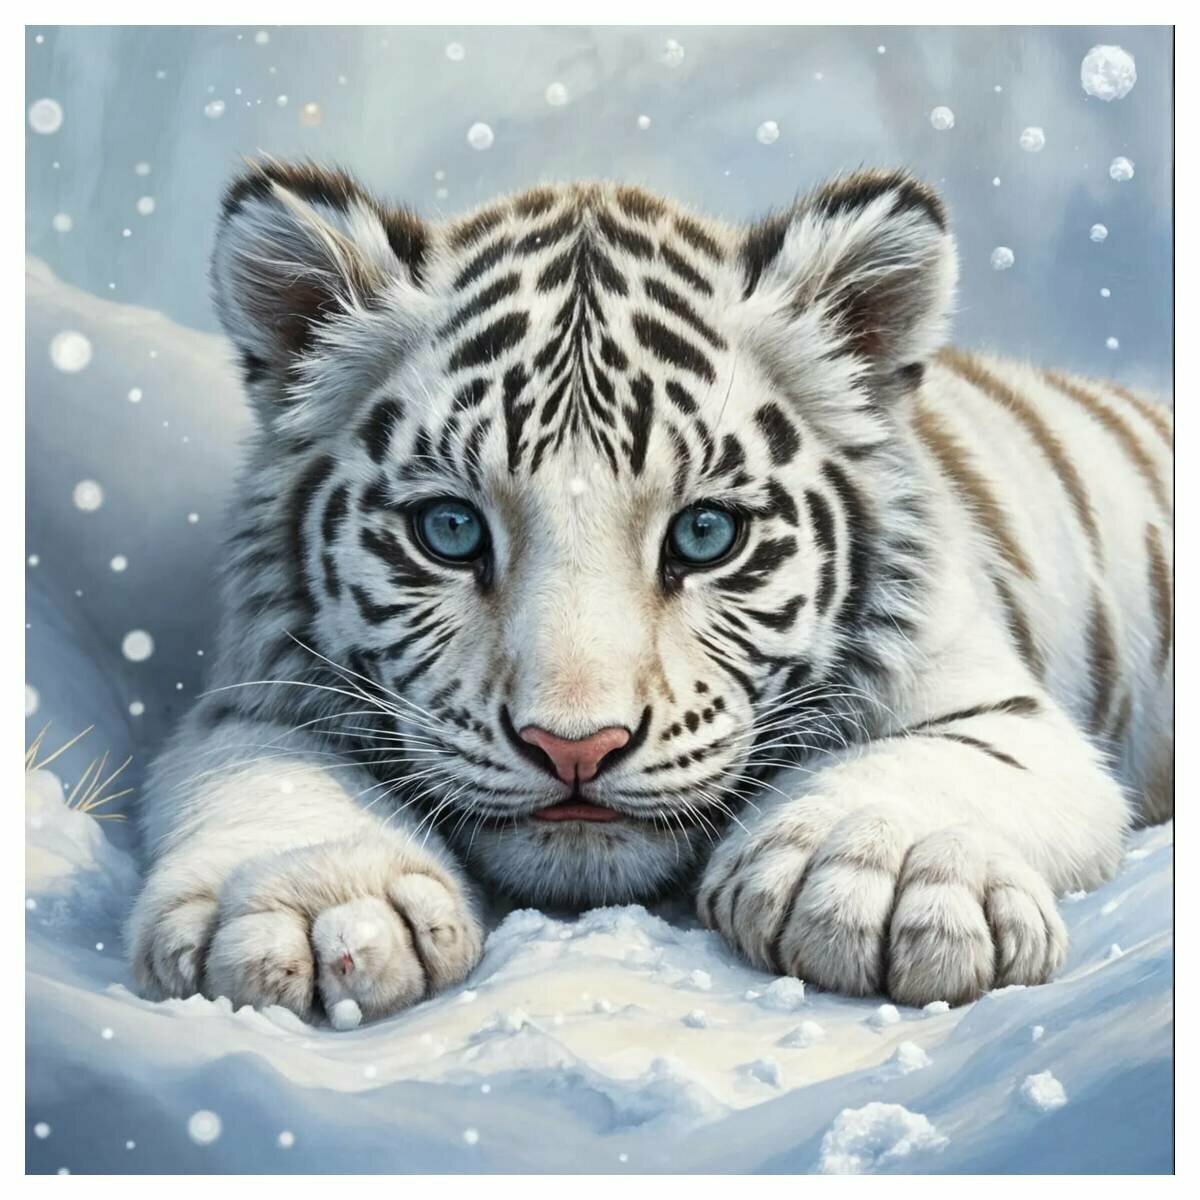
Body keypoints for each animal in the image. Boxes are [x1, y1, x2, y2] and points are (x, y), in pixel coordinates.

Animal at [127, 160, 1173, 1024]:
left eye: (705, 534)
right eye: (450, 530)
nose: (574, 747)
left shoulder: (996, 701)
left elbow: (931, 763)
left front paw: (876, 879)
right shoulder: (254, 692)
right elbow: (271, 773)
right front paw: (311, 912)